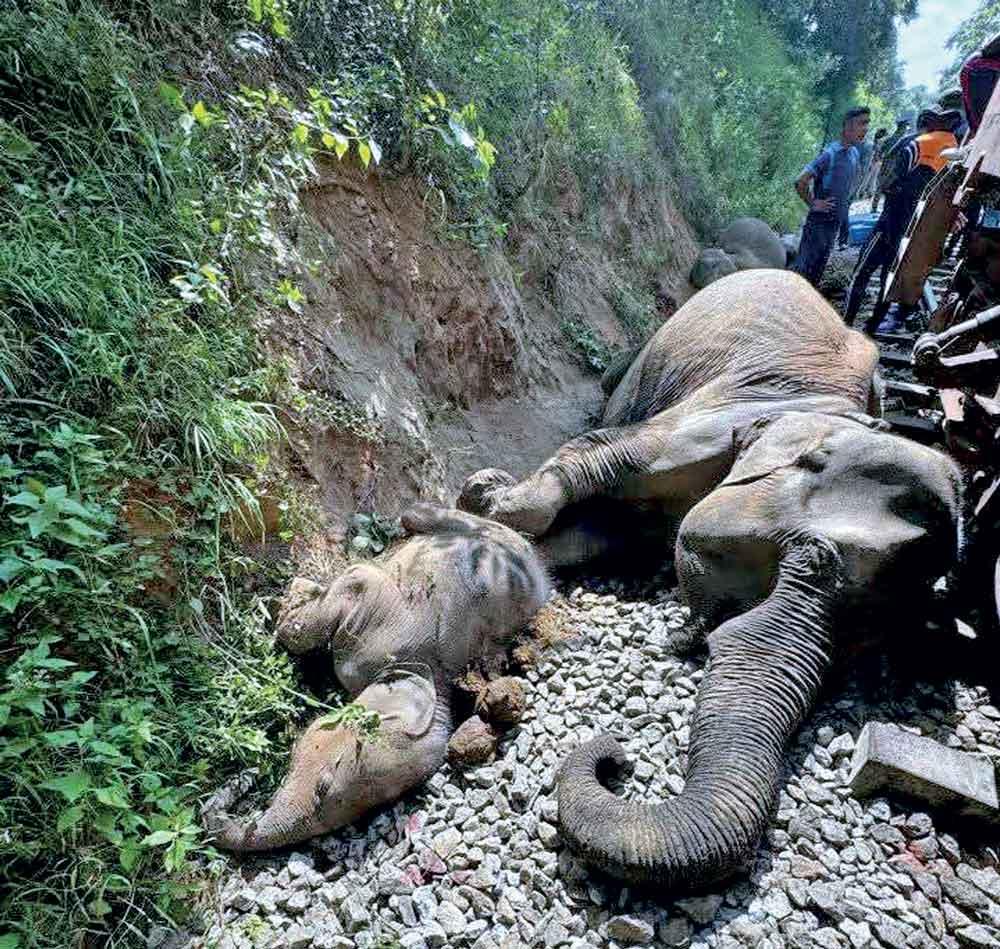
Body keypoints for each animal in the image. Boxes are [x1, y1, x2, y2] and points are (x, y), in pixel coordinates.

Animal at [203, 503, 549, 851]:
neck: (435, 683)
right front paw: (296, 591)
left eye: (323, 791)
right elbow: (357, 577)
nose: (246, 775)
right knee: (419, 515)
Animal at [458, 269, 962, 890]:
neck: (825, 415)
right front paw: (483, 494)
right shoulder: (714, 419)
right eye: (808, 560)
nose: (615, 759)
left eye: (867, 637)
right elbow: (598, 454)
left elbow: (610, 536)